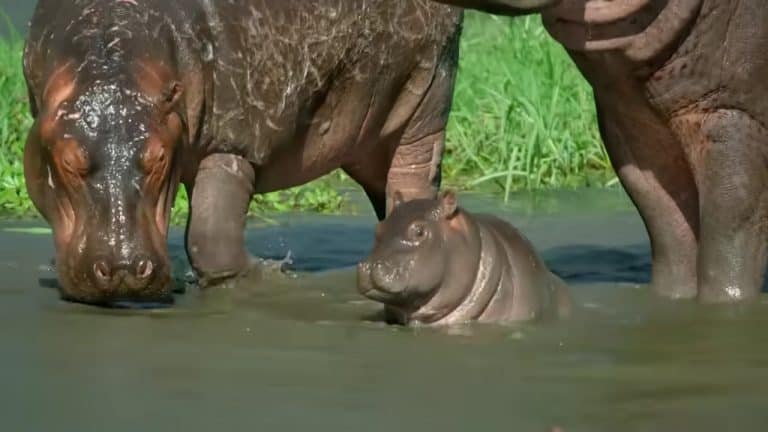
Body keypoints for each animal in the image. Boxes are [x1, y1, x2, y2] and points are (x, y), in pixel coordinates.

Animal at [22, 0, 462, 305]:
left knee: (413, 175)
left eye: (159, 157)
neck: (113, 59)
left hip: (427, 98)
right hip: (367, 138)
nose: (124, 268)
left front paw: (271, 275)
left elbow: (210, 237)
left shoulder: (232, 140)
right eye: (68, 161)